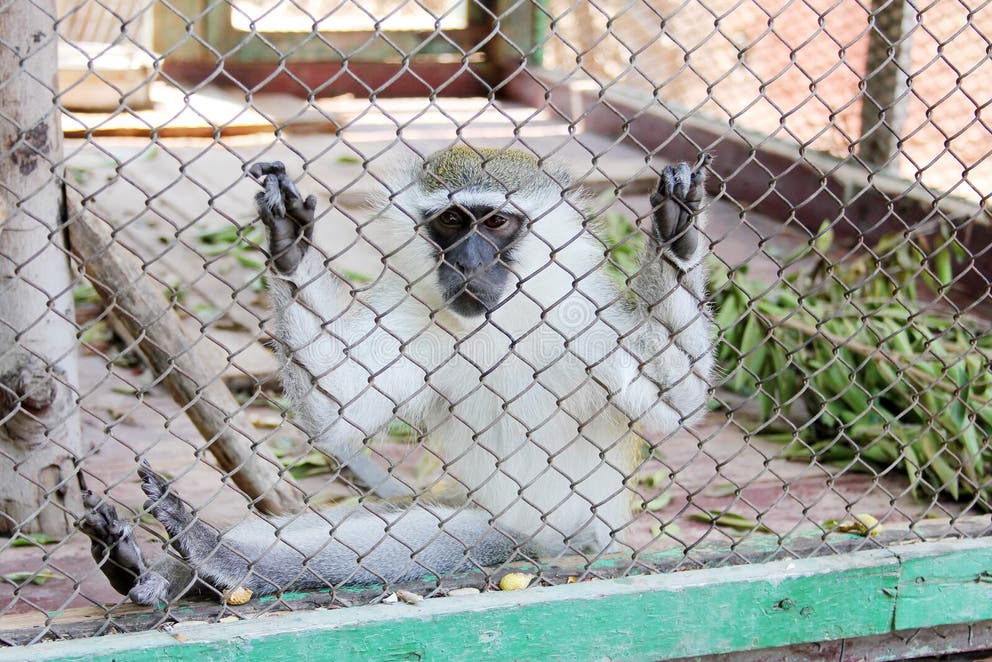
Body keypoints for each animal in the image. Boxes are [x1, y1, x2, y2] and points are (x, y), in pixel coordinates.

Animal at [81, 146, 714, 605]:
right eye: (453, 221)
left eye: (497, 222)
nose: (469, 262)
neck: (505, 318)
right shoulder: (416, 321)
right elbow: (342, 405)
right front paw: (290, 245)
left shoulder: (584, 318)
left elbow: (669, 396)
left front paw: (676, 235)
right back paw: (155, 567)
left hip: (545, 537)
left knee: (431, 544)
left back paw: (211, 556)